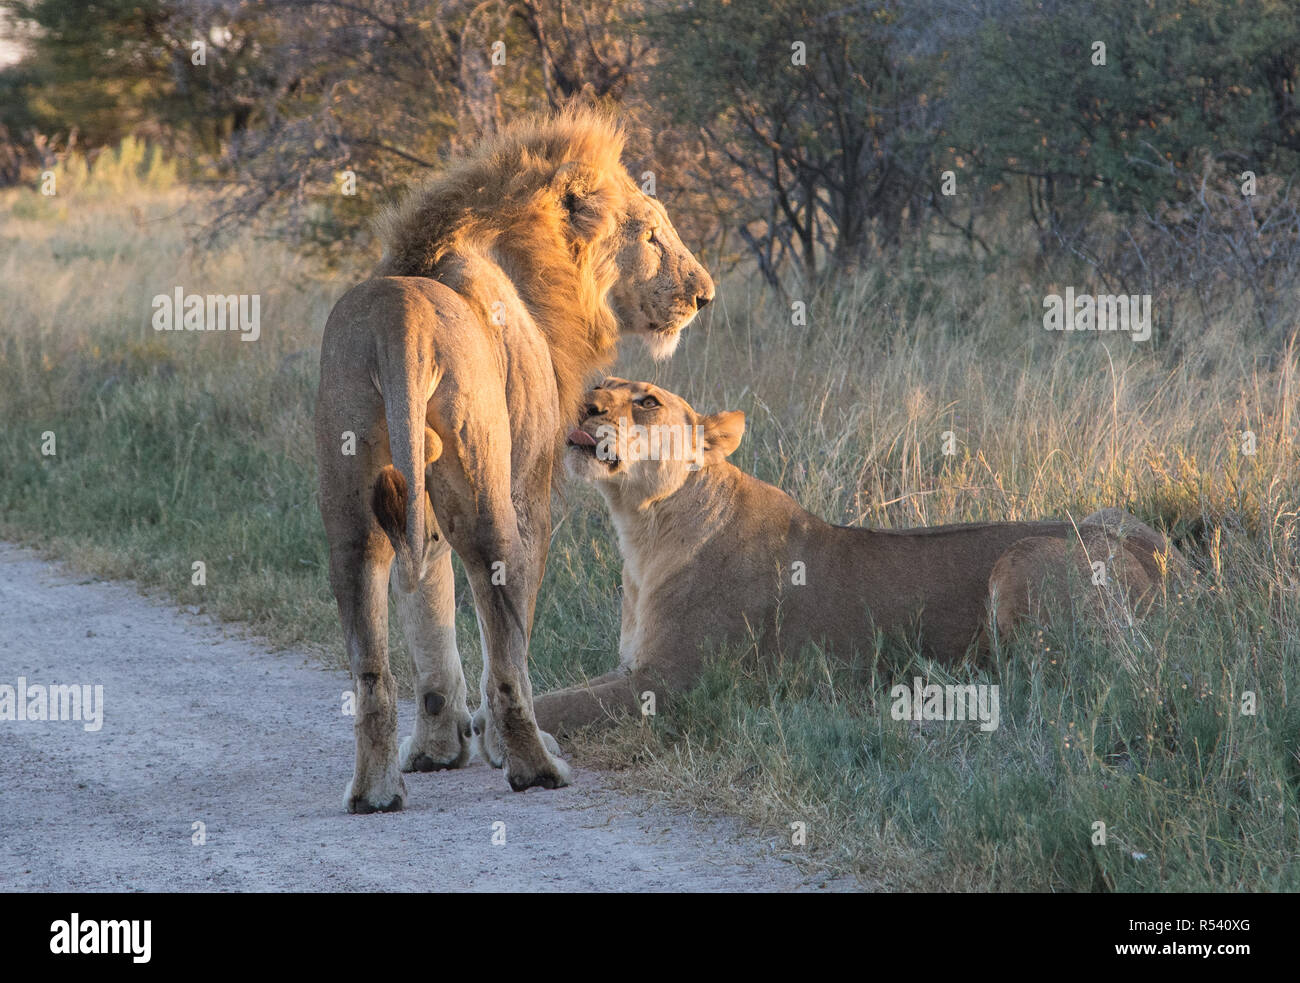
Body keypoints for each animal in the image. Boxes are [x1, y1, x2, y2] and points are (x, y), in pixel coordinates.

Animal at [316, 110, 714, 812]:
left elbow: (431, 619)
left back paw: (374, 790)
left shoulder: (422, 515)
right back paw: (535, 765)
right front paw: (491, 745)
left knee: (371, 662)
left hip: (354, 516)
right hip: (486, 496)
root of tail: (400, 318)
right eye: (650, 233)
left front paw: (438, 749)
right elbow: (513, 633)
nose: (705, 296)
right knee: (504, 648)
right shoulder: (529, 492)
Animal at [532, 378, 1189, 735]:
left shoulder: (668, 684)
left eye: (646, 400)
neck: (642, 531)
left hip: (1024, 558)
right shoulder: (633, 669)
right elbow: (554, 690)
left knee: (1047, 680)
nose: (587, 404)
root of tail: (1160, 560)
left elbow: (551, 706)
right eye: (602, 382)